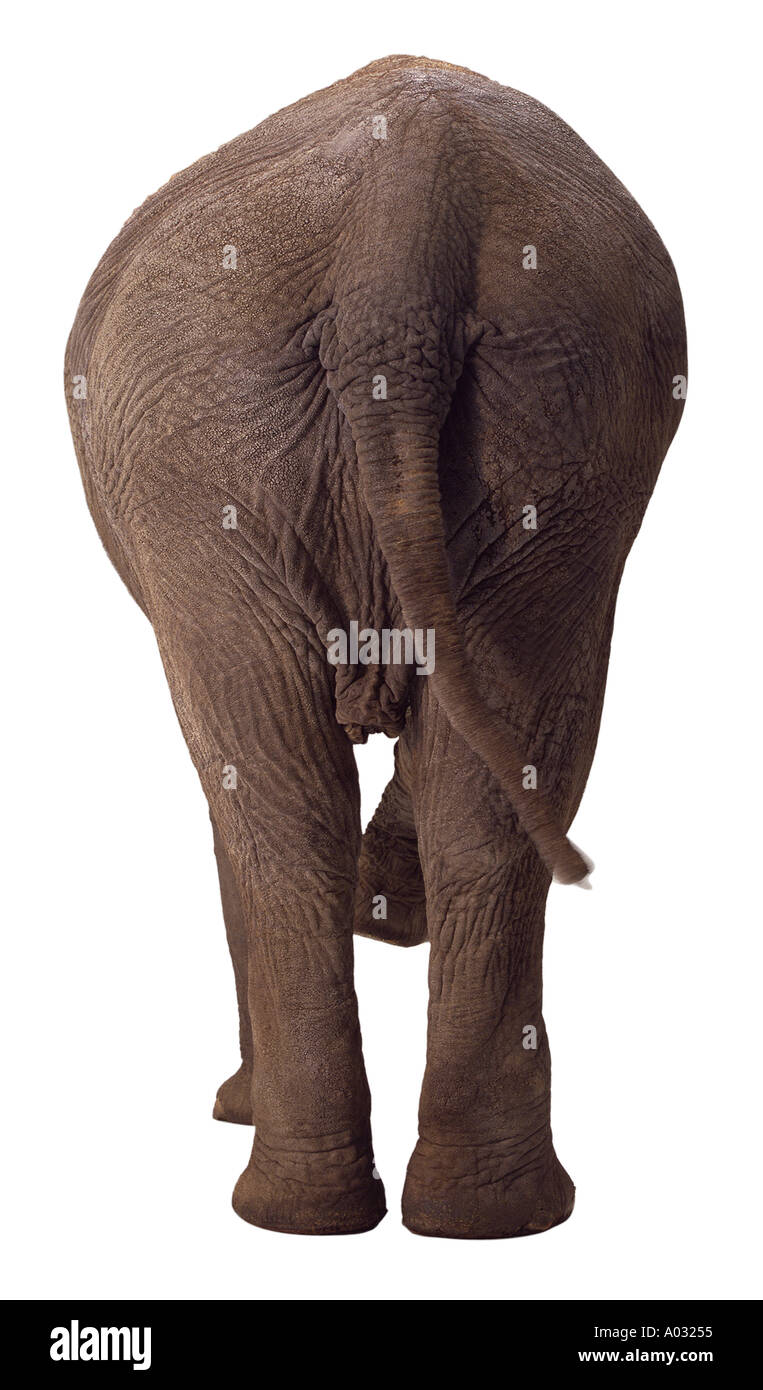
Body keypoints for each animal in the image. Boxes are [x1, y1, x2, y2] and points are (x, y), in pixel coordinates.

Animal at [65, 55, 686, 1238]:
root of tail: (406, 221)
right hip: (559, 430)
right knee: (461, 792)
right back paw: (459, 1216)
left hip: (228, 458)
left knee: (284, 799)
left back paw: (326, 1203)